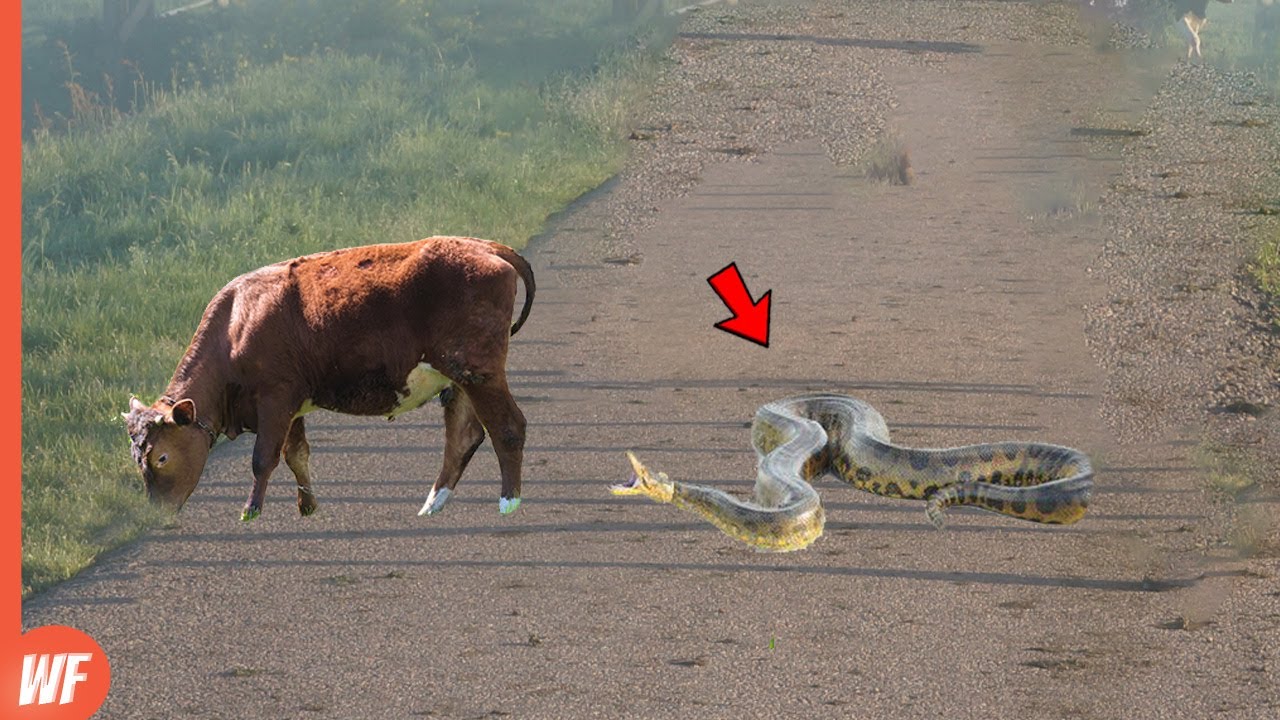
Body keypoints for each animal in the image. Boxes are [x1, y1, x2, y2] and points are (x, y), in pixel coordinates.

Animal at [122, 236, 534, 521]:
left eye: (161, 456)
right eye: (136, 458)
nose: (158, 511)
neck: (237, 323)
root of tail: (488, 247)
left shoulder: (275, 399)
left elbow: (263, 458)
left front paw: (251, 510)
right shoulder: (293, 406)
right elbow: (296, 454)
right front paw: (307, 504)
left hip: (479, 372)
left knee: (508, 428)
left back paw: (509, 502)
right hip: (460, 376)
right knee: (463, 435)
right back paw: (433, 502)